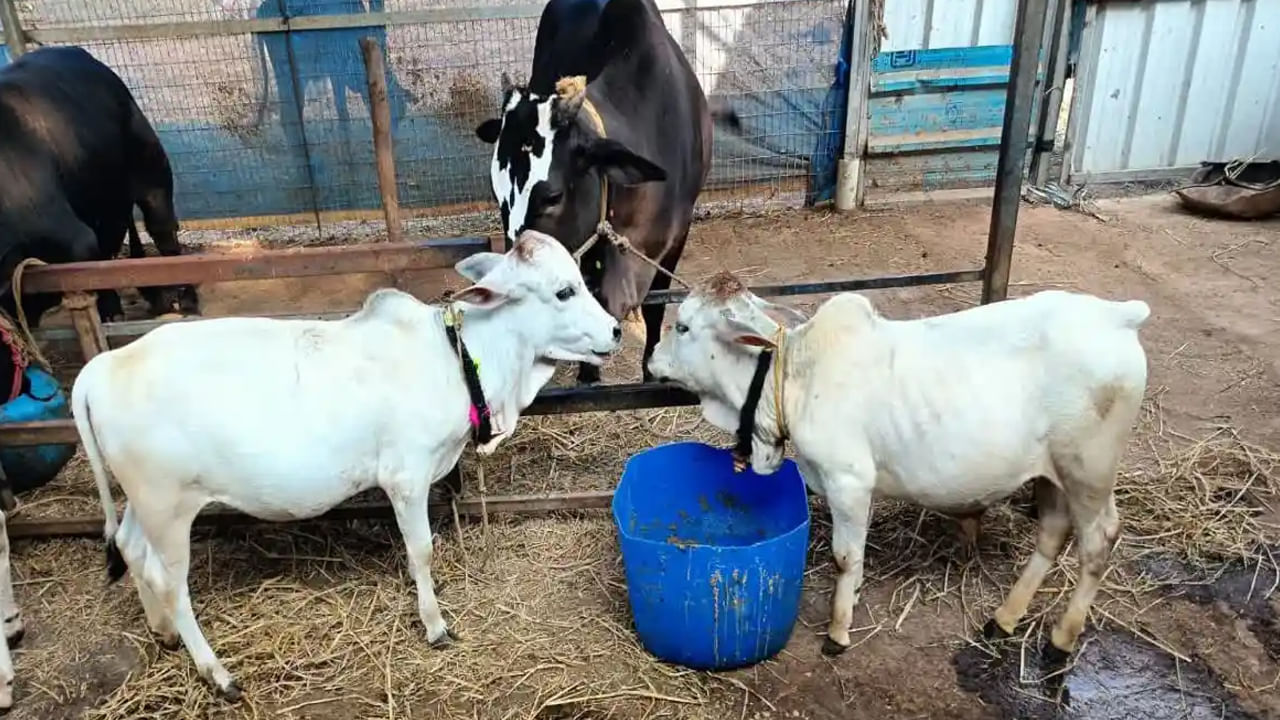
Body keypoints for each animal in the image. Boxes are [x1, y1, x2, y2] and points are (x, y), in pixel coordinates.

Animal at [0, 46, 199, 328]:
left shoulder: (74, 239)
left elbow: (93, 274)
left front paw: (110, 314)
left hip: (152, 175)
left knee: (164, 235)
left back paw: (187, 299)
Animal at [72, 231, 621, 699]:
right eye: (565, 290)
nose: (616, 330)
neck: (461, 357)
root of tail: (101, 368)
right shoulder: (406, 477)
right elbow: (421, 549)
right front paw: (435, 624)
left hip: (146, 502)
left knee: (130, 549)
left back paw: (162, 631)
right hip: (167, 505)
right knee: (170, 581)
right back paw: (217, 672)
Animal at [475, 0, 738, 384]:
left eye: (552, 197)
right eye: (497, 195)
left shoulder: (677, 237)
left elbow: (656, 306)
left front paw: (650, 372)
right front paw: (588, 375)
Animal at [647, 274, 1150, 676]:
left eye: (683, 326)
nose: (650, 358)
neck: (793, 376)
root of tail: (1117, 315)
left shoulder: (849, 480)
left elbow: (845, 557)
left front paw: (838, 631)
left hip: (1089, 470)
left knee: (1098, 542)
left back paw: (1061, 640)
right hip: (1055, 474)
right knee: (1053, 532)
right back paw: (1004, 618)